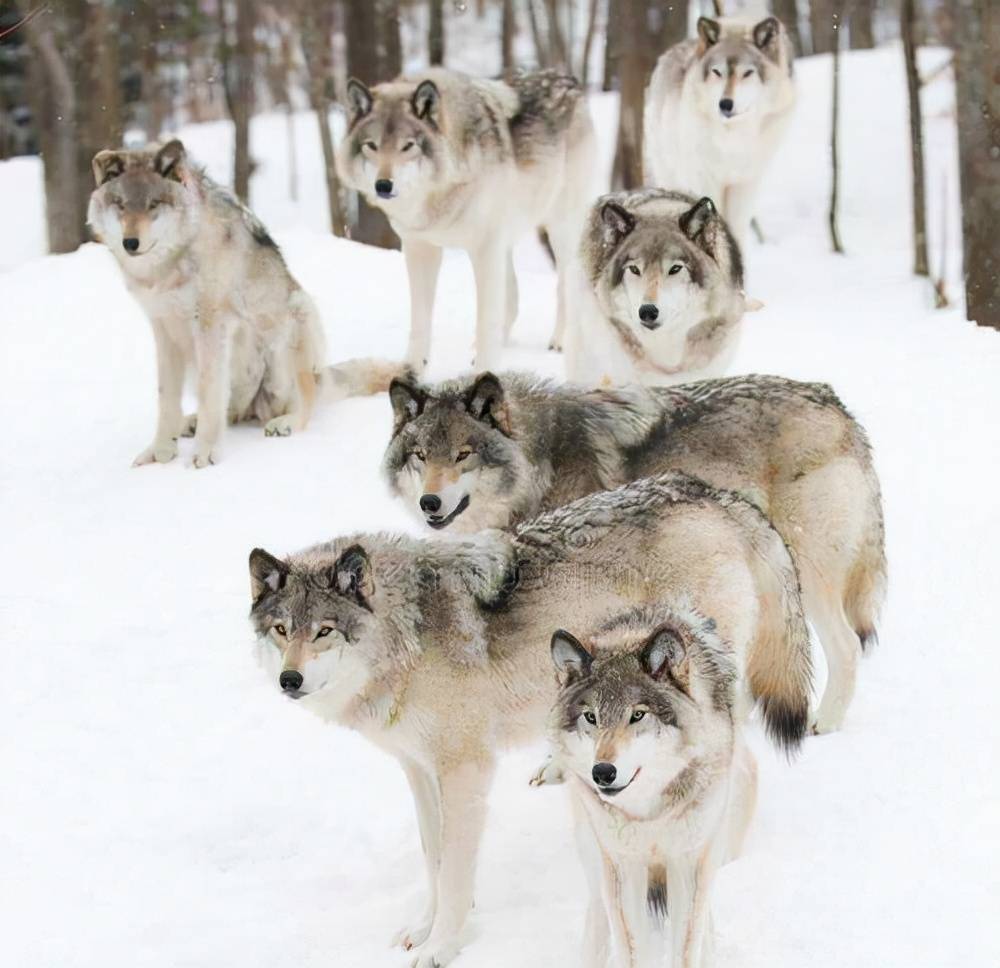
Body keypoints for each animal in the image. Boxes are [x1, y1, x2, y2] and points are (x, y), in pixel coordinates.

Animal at [88, 139, 404, 468]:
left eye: (153, 205)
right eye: (120, 205)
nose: (130, 243)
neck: (166, 268)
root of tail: (325, 376)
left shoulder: (210, 325)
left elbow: (210, 393)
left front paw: (205, 452)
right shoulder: (163, 329)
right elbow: (167, 399)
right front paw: (160, 452)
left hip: (293, 322)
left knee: (303, 405)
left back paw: (286, 422)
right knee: (232, 411)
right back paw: (192, 422)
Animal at [335, 68, 597, 369]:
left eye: (408, 146)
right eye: (372, 146)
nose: (383, 185)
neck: (444, 187)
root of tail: (566, 77)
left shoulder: (485, 249)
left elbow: (485, 321)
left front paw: (485, 371)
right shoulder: (420, 247)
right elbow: (420, 320)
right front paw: (411, 369)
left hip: (560, 230)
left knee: (564, 284)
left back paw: (559, 341)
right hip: (506, 241)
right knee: (511, 297)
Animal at [384, 371, 886, 734]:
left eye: (463, 454)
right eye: (420, 455)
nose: (430, 503)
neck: (537, 463)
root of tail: (835, 402)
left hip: (805, 579)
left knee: (845, 646)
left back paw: (824, 722)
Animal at [550, 605, 757, 968]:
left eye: (637, 715)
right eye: (591, 717)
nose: (602, 772)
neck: (650, 815)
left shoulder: (687, 862)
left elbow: (687, 947)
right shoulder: (623, 864)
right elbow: (631, 947)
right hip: (595, 854)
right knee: (599, 915)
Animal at [643, 16, 796, 248]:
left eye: (747, 73)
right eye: (717, 72)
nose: (725, 104)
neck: (732, 140)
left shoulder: (744, 185)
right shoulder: (706, 181)